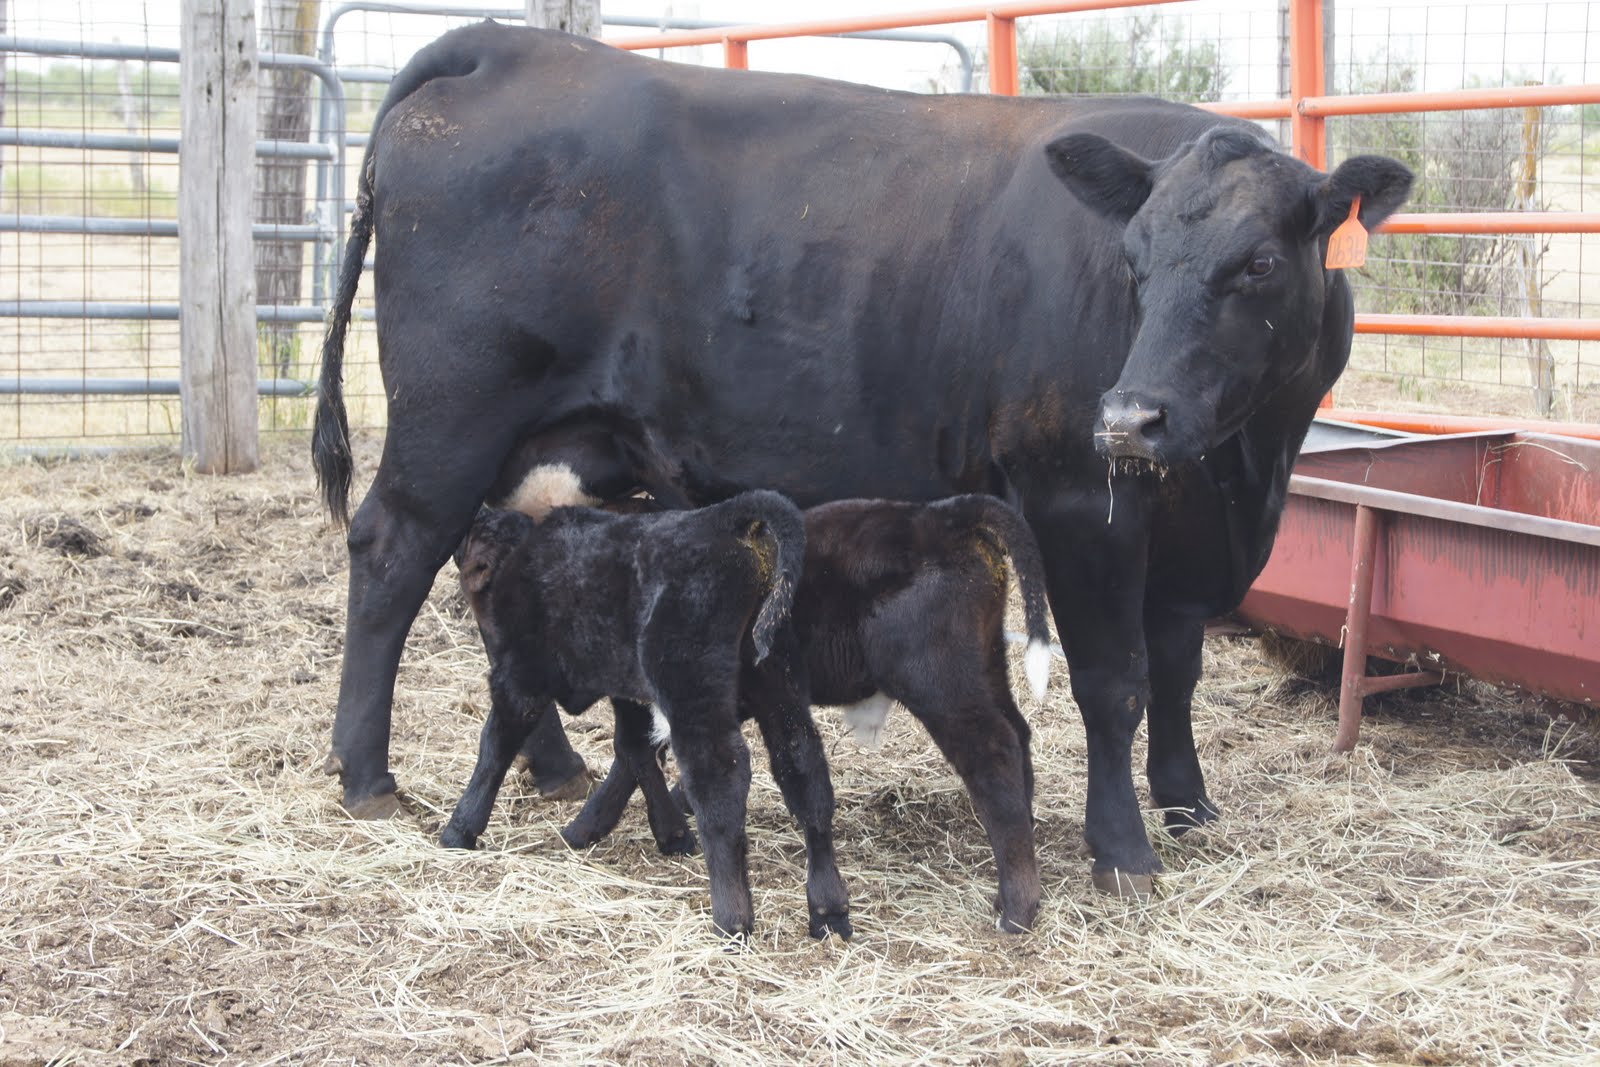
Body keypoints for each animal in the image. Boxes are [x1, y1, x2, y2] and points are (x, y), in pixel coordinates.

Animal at [442, 491, 853, 940]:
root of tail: (726, 519)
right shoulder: (631, 694)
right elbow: (635, 749)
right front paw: (670, 834)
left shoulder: (520, 675)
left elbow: (494, 746)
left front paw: (461, 828)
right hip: (779, 682)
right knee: (804, 771)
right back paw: (829, 910)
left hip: (691, 687)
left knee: (720, 779)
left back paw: (732, 919)